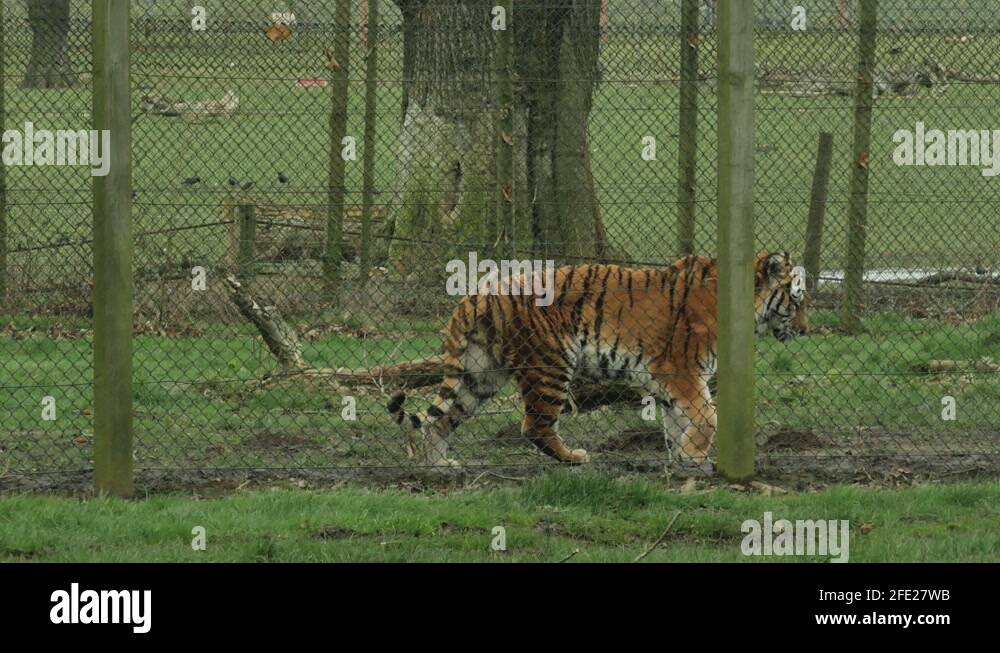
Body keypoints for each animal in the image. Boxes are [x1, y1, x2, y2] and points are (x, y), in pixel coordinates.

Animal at [388, 252, 807, 467]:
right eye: (798, 299)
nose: (805, 331)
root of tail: (480, 292)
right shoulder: (684, 373)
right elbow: (708, 417)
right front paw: (694, 453)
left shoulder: (672, 383)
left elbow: (678, 423)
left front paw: (685, 458)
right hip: (551, 365)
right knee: (535, 425)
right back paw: (574, 457)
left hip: (480, 373)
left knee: (442, 421)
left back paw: (442, 466)